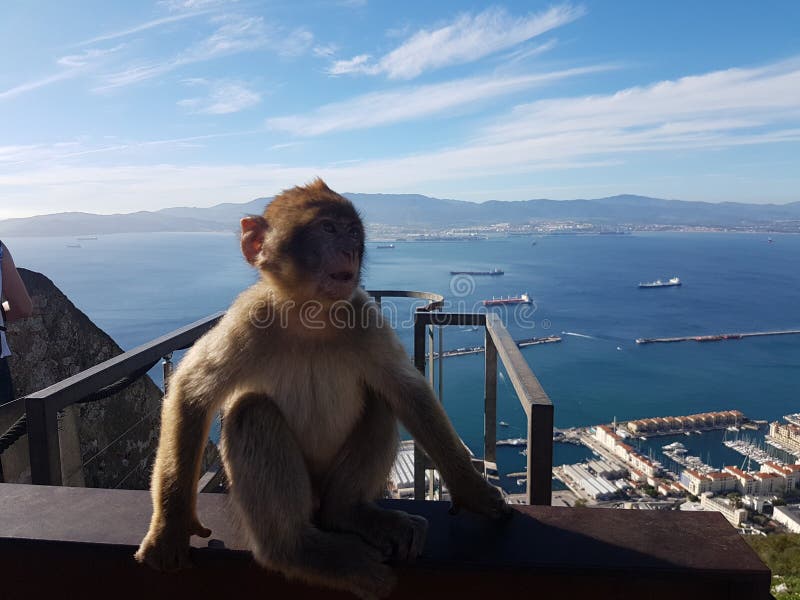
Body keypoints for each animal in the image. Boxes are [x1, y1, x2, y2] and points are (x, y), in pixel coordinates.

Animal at [135, 179, 509, 599]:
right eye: (328, 229)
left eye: (353, 233)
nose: (349, 249)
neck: (309, 314)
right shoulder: (248, 318)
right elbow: (192, 391)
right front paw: (170, 527)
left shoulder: (364, 317)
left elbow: (407, 391)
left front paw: (471, 490)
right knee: (251, 411)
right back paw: (297, 550)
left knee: (379, 402)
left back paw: (348, 512)